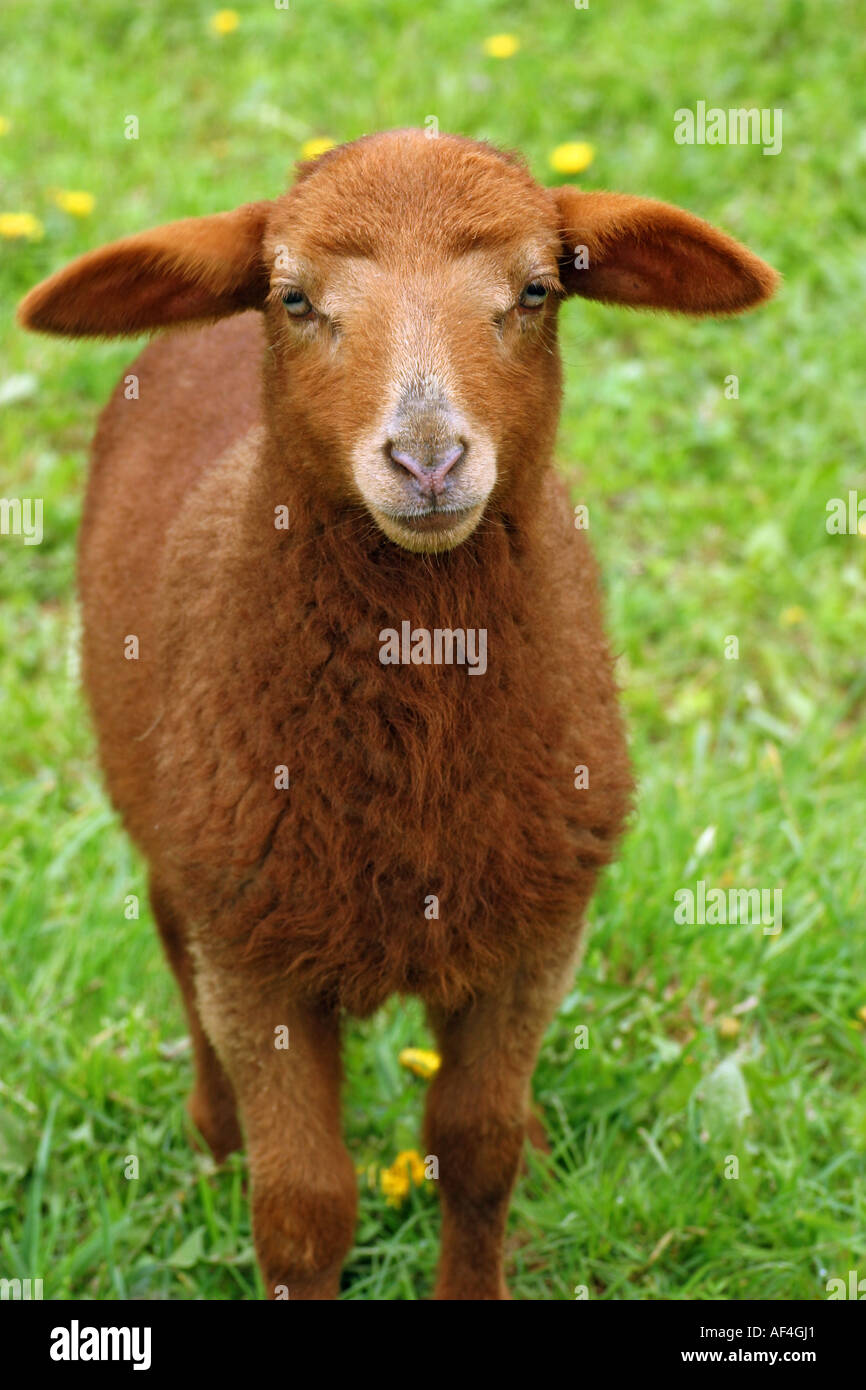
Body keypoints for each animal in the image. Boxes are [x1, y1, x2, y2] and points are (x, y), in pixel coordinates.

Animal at [18, 129, 778, 1301]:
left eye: (536, 287)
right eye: (295, 298)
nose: (427, 459)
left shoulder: (534, 934)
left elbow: (474, 1149)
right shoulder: (256, 953)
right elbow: (302, 1207)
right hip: (173, 826)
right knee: (174, 949)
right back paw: (213, 1132)